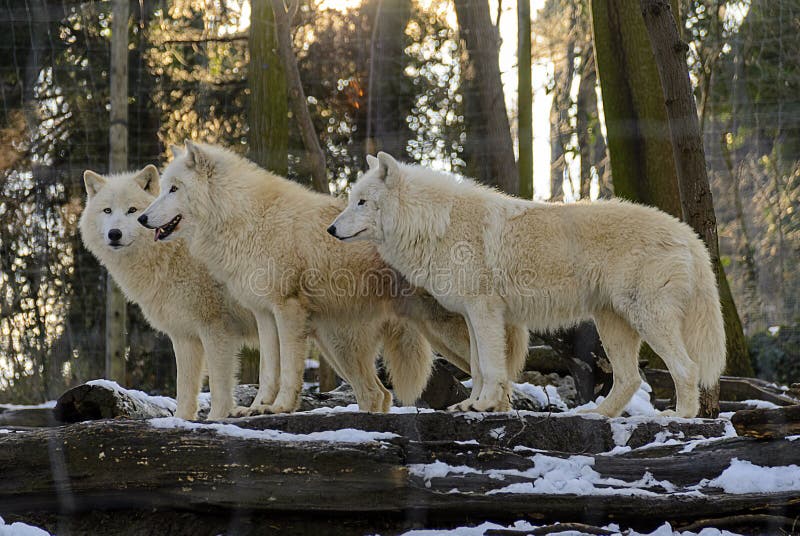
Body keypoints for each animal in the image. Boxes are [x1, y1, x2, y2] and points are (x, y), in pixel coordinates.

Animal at [79, 166, 259, 420]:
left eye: (132, 210)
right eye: (107, 210)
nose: (114, 234)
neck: (175, 251)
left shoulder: (215, 327)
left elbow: (219, 386)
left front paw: (216, 419)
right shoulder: (184, 335)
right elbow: (184, 388)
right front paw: (181, 421)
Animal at [138, 142, 528, 414]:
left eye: (173, 189)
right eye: (162, 187)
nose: (142, 218)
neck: (246, 218)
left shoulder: (286, 309)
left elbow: (288, 370)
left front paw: (281, 407)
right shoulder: (264, 313)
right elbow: (267, 370)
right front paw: (258, 407)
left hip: (446, 333)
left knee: (503, 375)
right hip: (343, 347)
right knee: (378, 394)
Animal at [329, 152, 727, 418]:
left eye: (362, 202)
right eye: (349, 200)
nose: (331, 229)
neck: (435, 224)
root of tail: (686, 233)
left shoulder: (485, 310)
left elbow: (490, 367)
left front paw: (485, 404)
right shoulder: (473, 316)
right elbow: (478, 366)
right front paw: (473, 403)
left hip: (647, 318)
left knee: (687, 368)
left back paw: (680, 417)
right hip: (613, 323)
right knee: (628, 379)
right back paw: (595, 415)